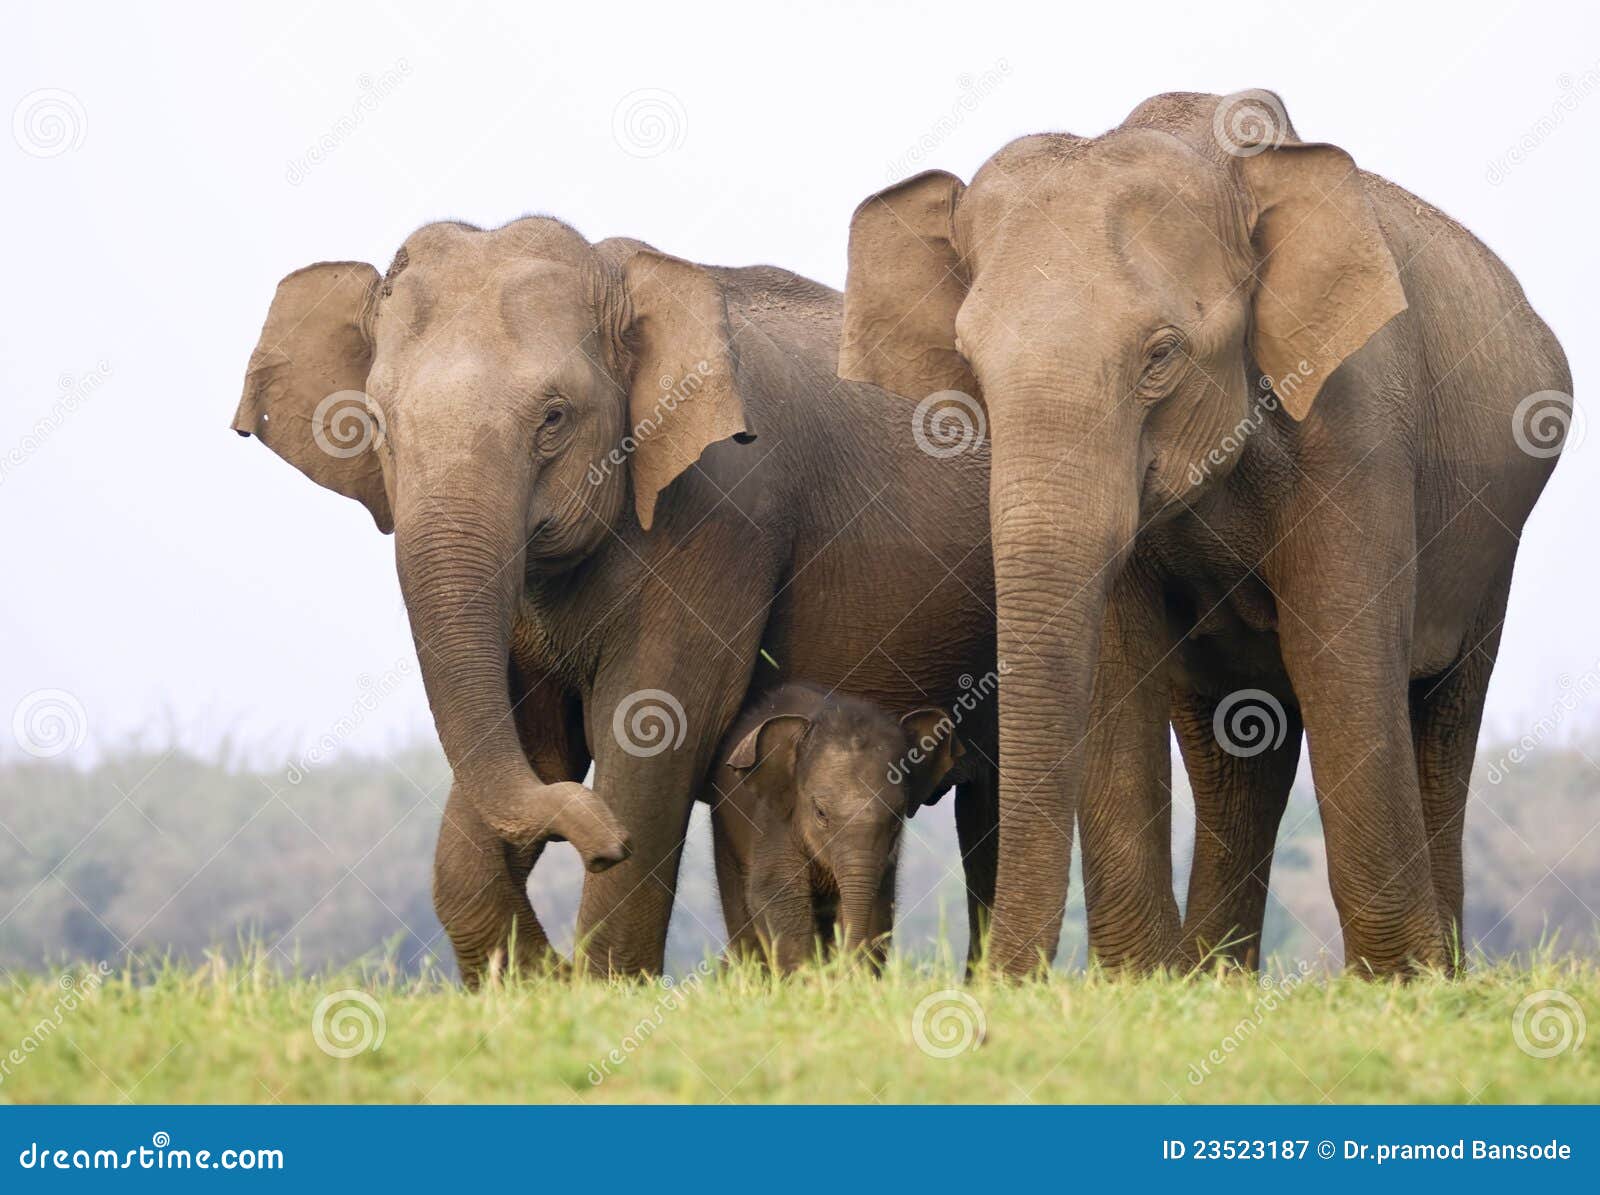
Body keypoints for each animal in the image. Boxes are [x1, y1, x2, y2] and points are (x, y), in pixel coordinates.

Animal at [705, 683, 963, 970]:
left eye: (897, 815)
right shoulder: (774, 820)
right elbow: (778, 894)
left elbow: (880, 901)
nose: (844, 962)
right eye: (820, 812)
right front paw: (807, 977)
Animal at [838, 90, 1570, 977]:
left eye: (1161, 355)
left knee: (1443, 708)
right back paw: (1215, 976)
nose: (1000, 983)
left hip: (1494, 541)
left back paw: (1434, 968)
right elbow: (1118, 669)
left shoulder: (1357, 426)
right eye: (969, 365)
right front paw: (1139, 985)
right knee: (1237, 744)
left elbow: (1342, 659)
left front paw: (1401, 983)